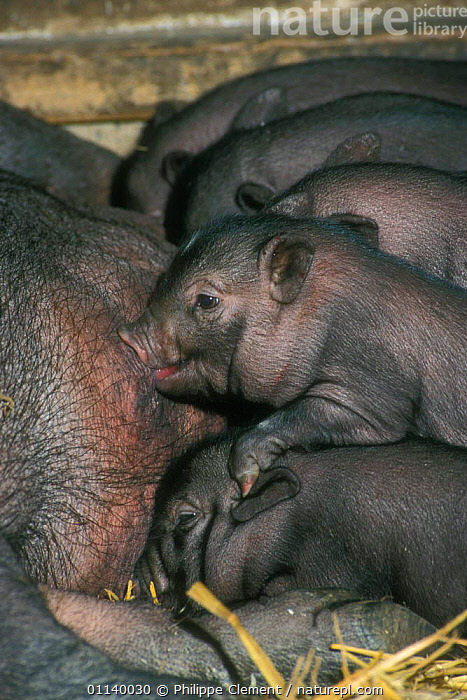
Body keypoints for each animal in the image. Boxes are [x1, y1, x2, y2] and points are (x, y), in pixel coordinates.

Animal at [118, 214, 467, 495]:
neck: (324, 317)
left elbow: (303, 414)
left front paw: (244, 483)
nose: (127, 334)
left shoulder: (376, 395)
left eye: (206, 300)